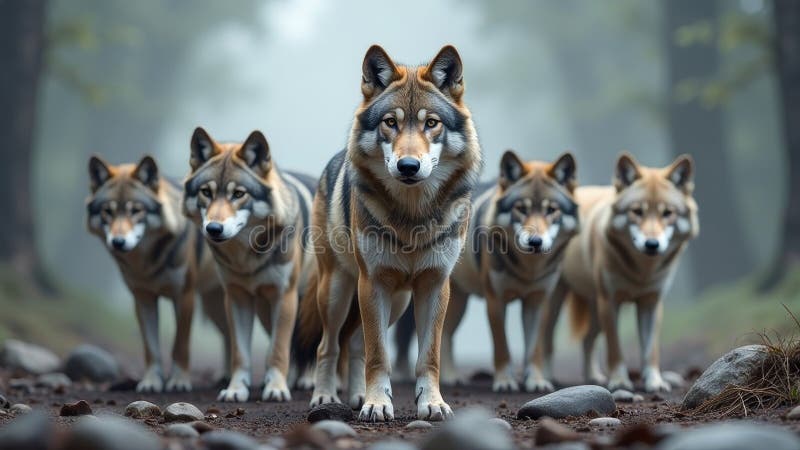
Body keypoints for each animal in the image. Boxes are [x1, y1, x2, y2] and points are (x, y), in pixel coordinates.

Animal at [86, 155, 229, 393]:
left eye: (136, 210)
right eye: (108, 211)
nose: (118, 242)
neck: (147, 263)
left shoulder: (184, 297)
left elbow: (180, 346)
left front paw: (179, 381)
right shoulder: (143, 299)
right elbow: (151, 349)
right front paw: (151, 382)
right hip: (215, 307)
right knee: (230, 335)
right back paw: (226, 377)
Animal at [183, 127, 315, 402]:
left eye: (238, 194)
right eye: (206, 192)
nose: (213, 228)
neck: (247, 257)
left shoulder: (284, 296)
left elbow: (278, 350)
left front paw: (276, 389)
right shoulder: (237, 298)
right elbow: (241, 354)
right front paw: (236, 390)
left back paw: (311, 380)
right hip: (265, 311)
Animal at [538, 153, 698, 392]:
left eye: (667, 213)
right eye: (637, 211)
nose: (652, 244)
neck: (642, 272)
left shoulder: (651, 303)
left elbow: (650, 351)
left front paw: (655, 382)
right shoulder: (610, 302)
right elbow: (615, 350)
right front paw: (621, 382)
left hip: (595, 310)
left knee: (587, 339)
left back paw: (593, 377)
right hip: (557, 303)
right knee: (546, 341)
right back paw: (546, 378)